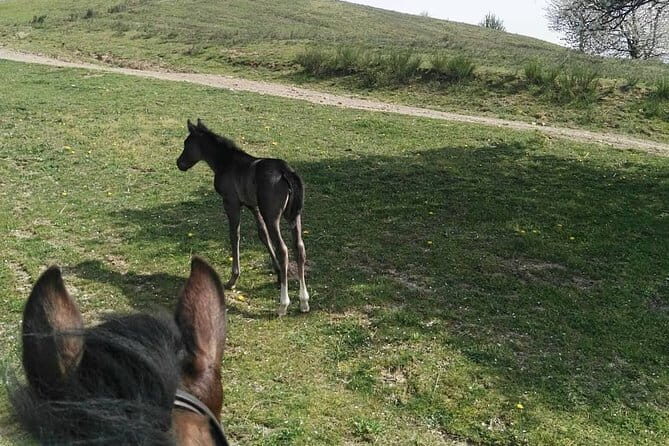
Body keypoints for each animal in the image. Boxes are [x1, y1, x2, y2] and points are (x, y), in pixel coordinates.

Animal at [177, 119, 310, 316]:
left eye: (187, 144)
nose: (179, 163)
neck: (226, 163)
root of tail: (286, 172)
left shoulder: (231, 203)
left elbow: (234, 235)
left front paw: (233, 279)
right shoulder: (252, 206)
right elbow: (262, 235)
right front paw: (278, 273)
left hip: (273, 216)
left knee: (284, 249)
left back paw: (283, 304)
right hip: (294, 216)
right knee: (299, 247)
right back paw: (304, 301)